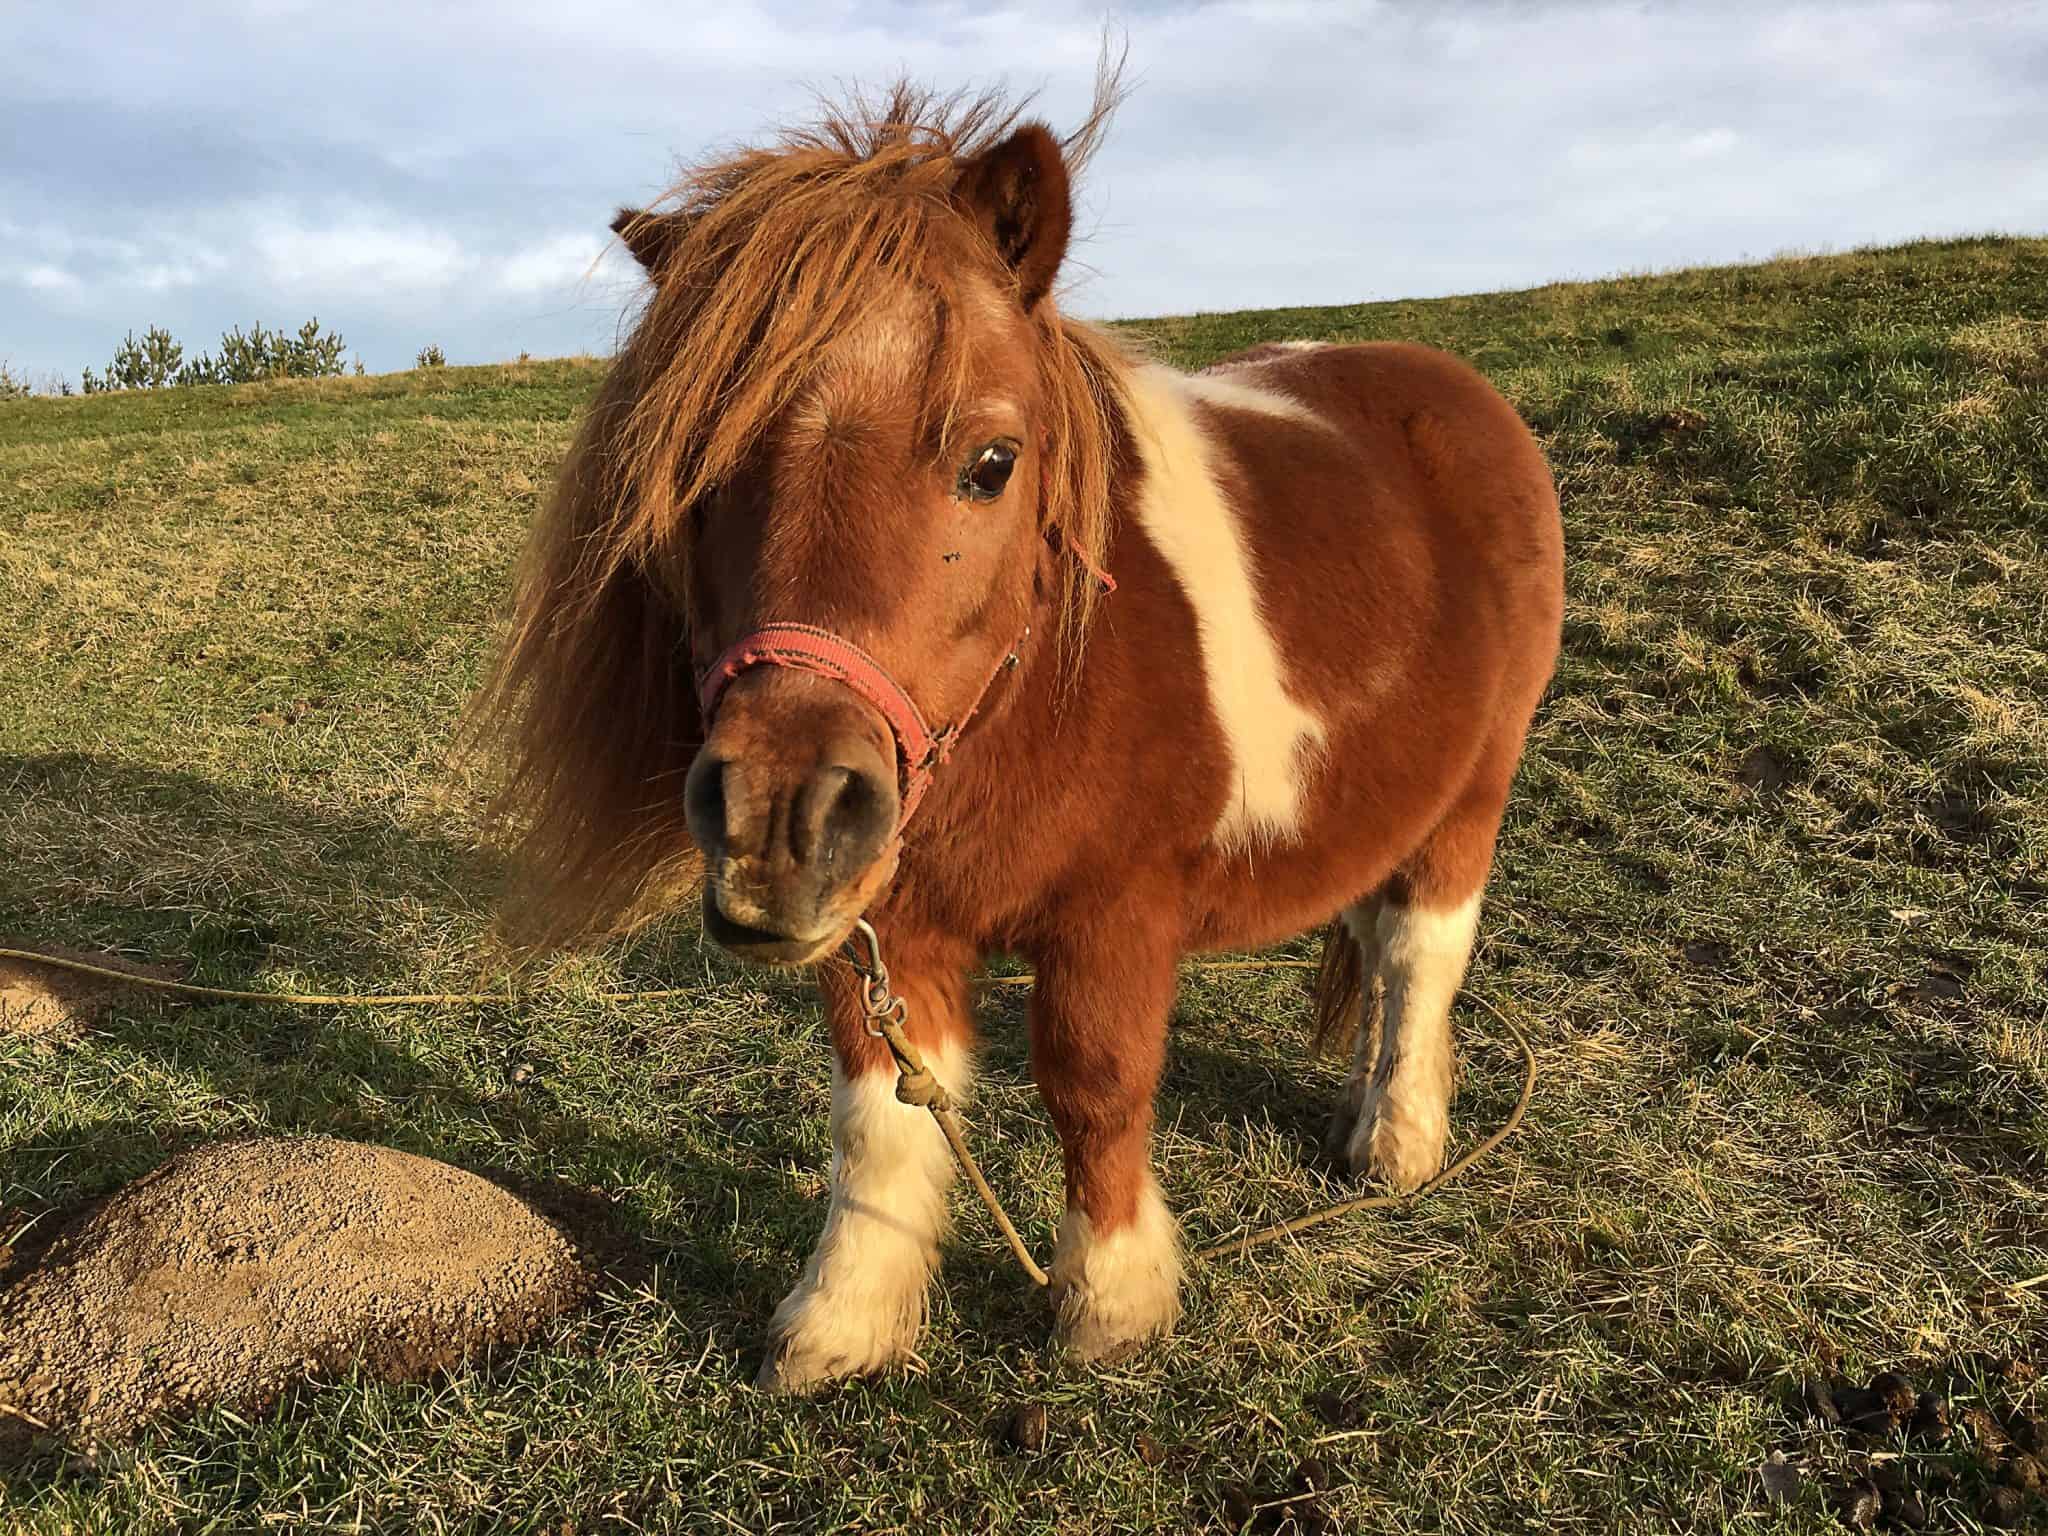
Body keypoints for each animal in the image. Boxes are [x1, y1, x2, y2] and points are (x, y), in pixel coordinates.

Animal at [472, 77, 1564, 1392]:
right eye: (692, 476)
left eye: (991, 462)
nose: (776, 820)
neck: (1036, 698)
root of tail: (1448, 392)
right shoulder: (883, 927)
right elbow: (882, 1111)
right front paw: (845, 1318)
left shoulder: (1115, 918)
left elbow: (1094, 1088)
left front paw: (1110, 1300)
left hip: (1472, 794)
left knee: (1416, 958)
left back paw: (1396, 1143)